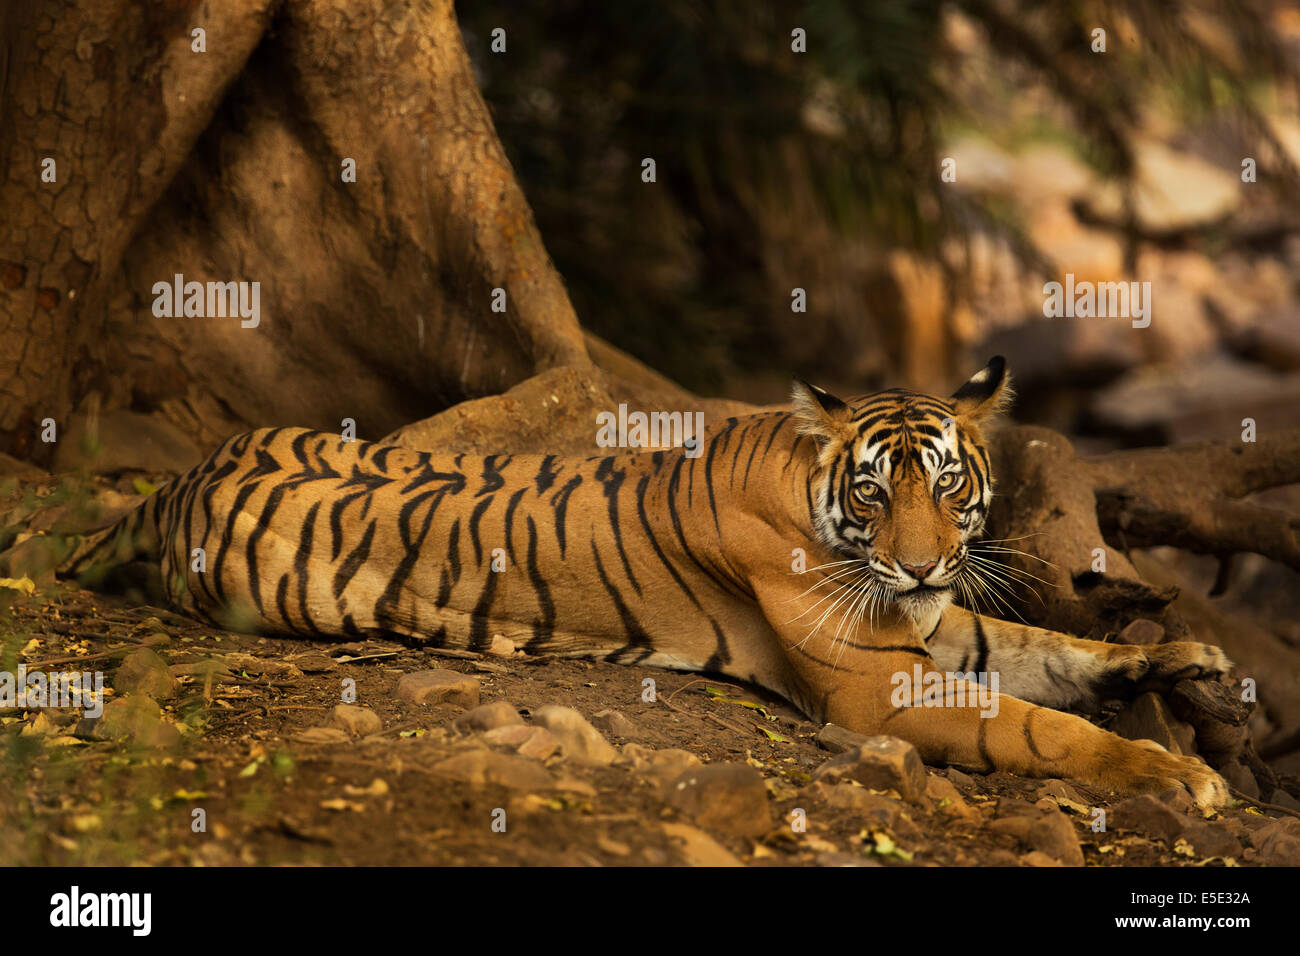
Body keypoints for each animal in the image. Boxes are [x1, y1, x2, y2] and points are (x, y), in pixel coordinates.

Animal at [58, 356, 1231, 804]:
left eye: (946, 484)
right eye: (872, 491)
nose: (918, 559)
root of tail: (182, 476)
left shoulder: (934, 629)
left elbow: (1059, 653)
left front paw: (1184, 658)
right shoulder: (876, 682)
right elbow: (1037, 725)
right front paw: (1173, 774)